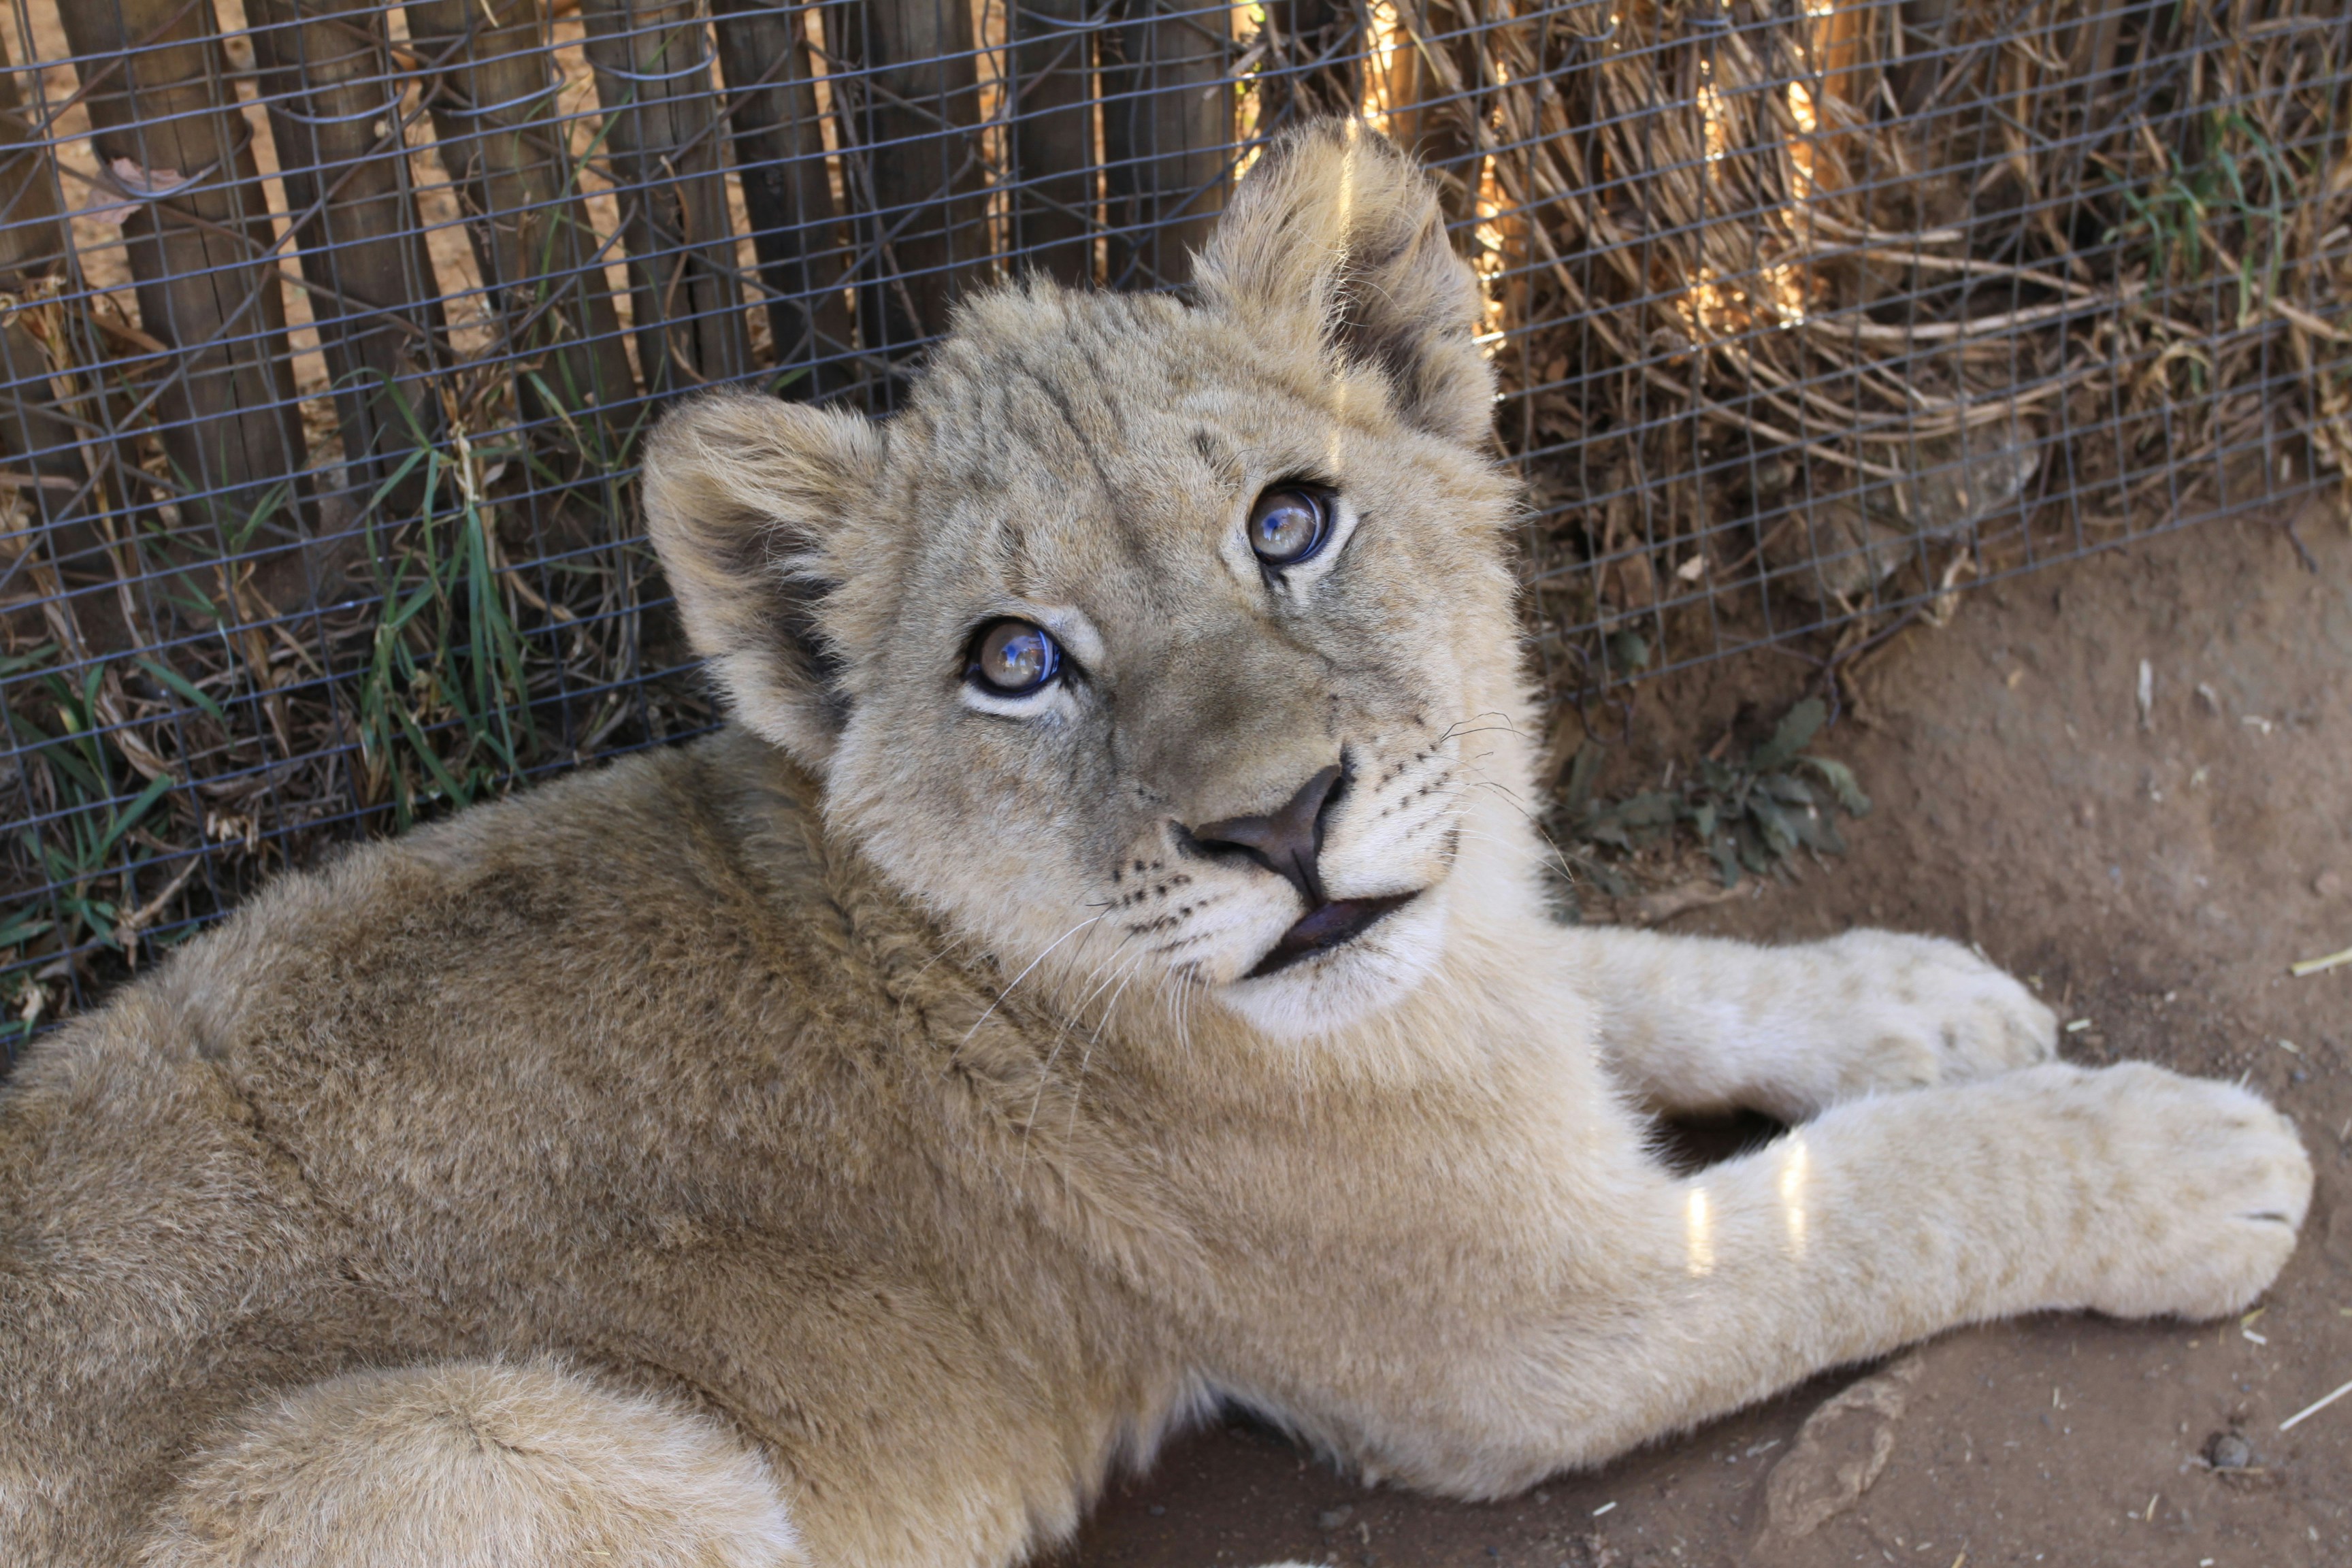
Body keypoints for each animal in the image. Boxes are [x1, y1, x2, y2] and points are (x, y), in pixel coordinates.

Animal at [0, 121, 2311, 1568]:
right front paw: (2186, 1164)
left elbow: (1639, 968)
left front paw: (1923, 998)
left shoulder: (1476, 974)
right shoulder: (1522, 1338)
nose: (1283, 826)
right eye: (1015, 660)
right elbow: (1883, 1210)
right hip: (527, 1456)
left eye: (1291, 522)